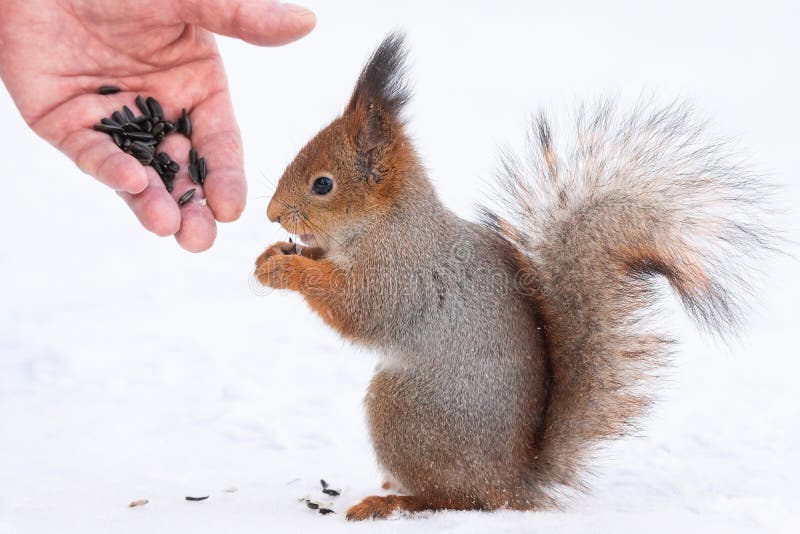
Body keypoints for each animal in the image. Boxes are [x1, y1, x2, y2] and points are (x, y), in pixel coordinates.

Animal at [254, 33, 772, 520]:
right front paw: (273, 255)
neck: (385, 221)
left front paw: (285, 269)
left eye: (323, 184)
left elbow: (355, 308)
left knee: (454, 499)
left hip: (402, 411)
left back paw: (392, 502)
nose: (272, 214)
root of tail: (510, 483)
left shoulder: (400, 272)